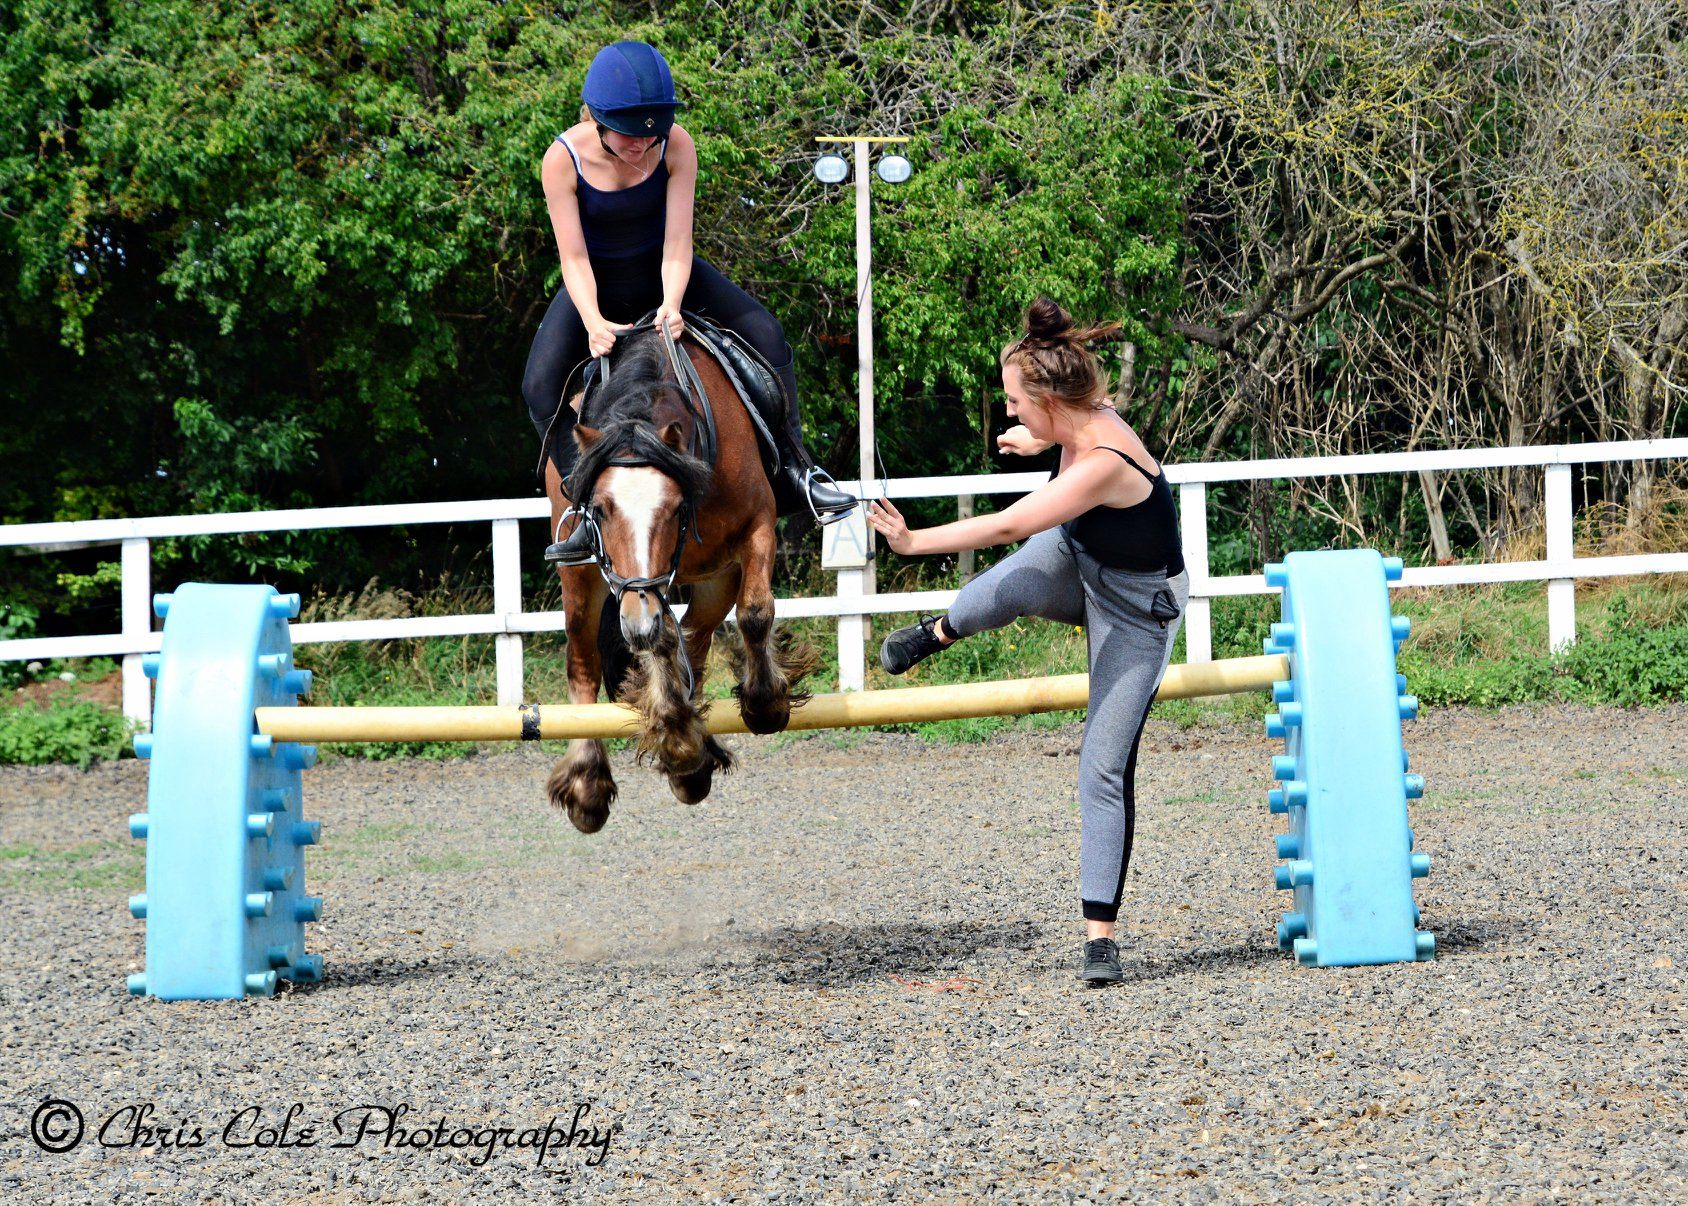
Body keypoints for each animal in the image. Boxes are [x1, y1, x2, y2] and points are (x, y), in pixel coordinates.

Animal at [543, 325, 817, 833]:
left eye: (672, 508)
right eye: (601, 510)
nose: (637, 624)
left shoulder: (756, 529)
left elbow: (754, 613)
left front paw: (765, 704)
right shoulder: (639, 586)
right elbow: (659, 641)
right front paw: (676, 739)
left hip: (713, 578)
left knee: (695, 636)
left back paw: (695, 756)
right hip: (583, 580)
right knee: (584, 663)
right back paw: (590, 786)